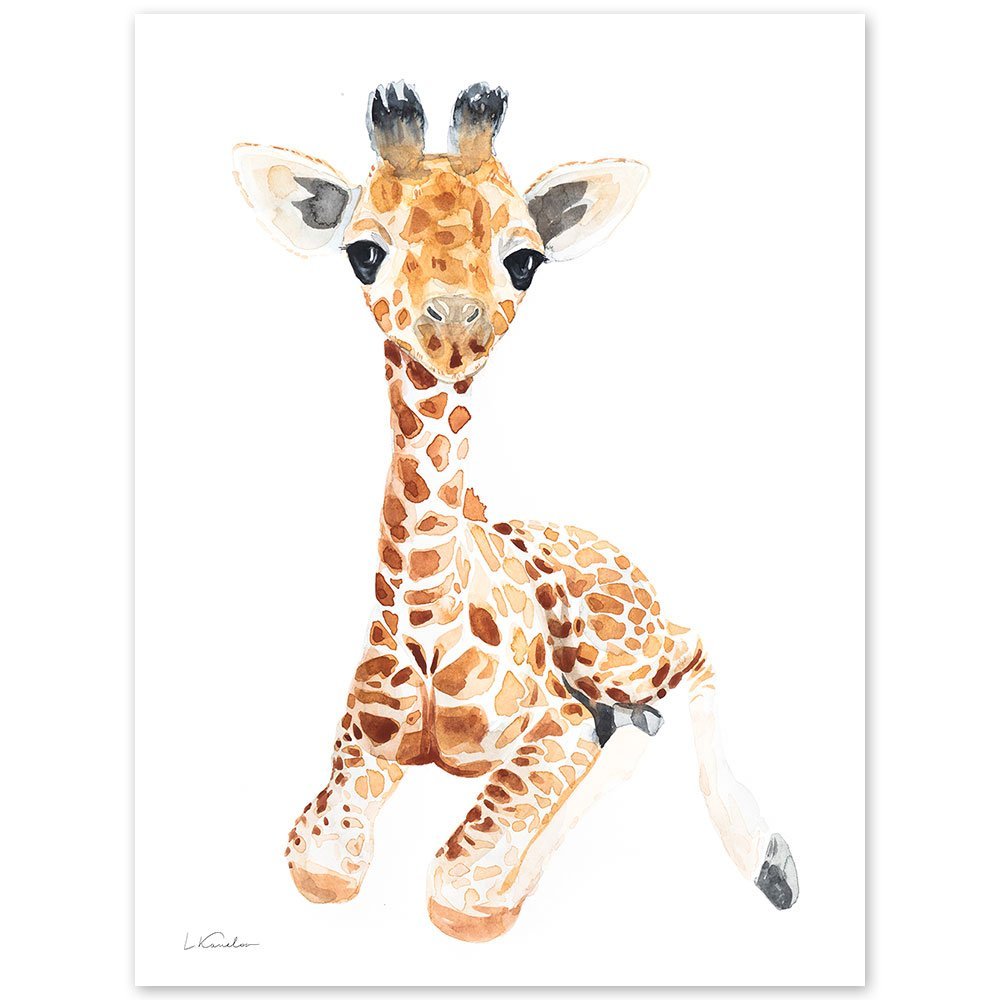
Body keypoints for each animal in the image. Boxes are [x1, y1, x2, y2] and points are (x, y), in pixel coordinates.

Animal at [233, 81, 799, 943]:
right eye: (364, 252)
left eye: (524, 260)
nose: (453, 324)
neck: (426, 613)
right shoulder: (359, 746)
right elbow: (321, 864)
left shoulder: (549, 727)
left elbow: (456, 891)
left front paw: (498, 893)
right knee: (648, 716)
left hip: (615, 652)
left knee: (693, 653)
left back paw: (767, 857)